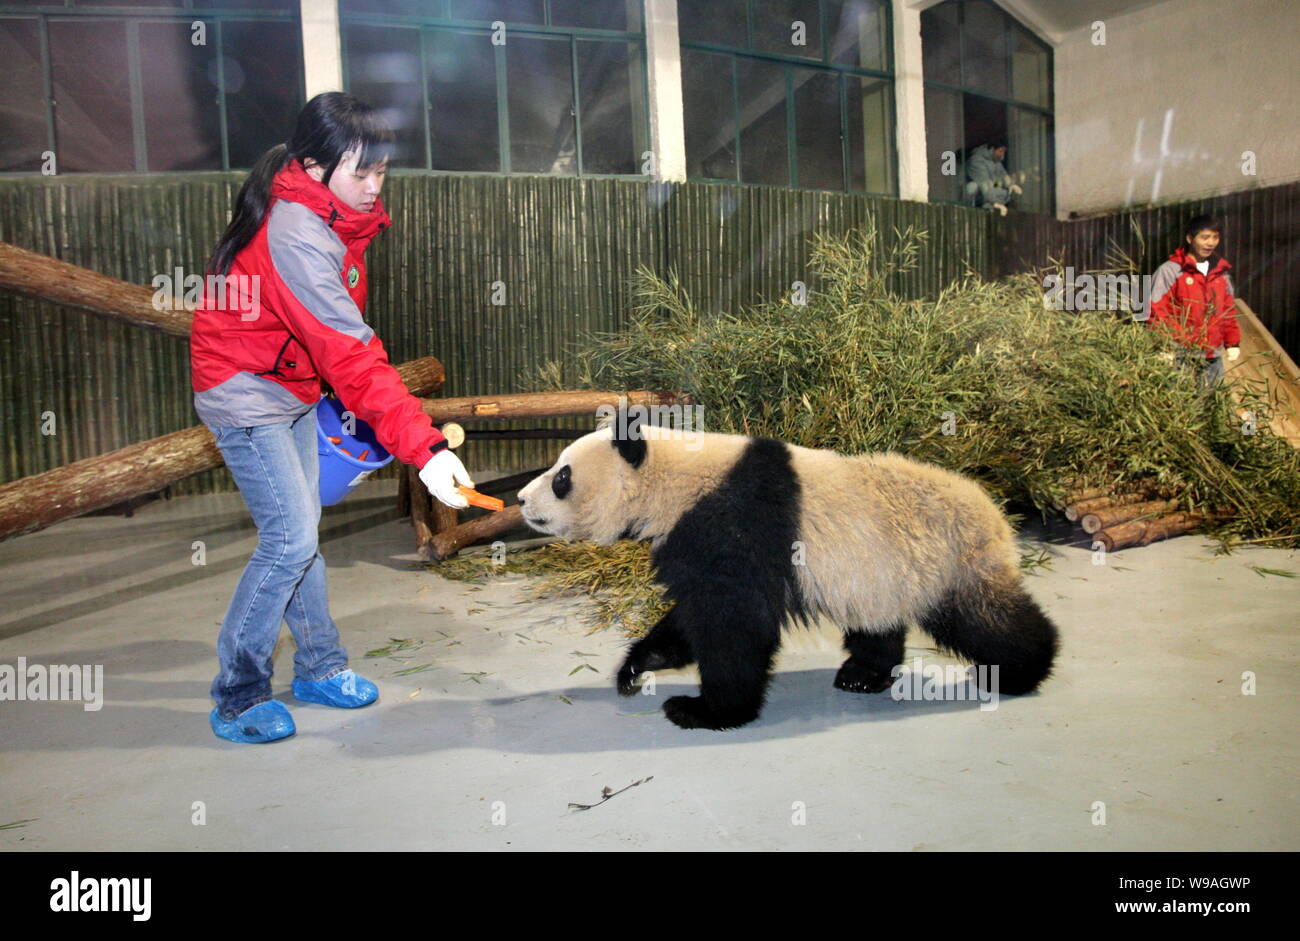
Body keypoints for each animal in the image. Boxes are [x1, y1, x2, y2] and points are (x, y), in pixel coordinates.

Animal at [516, 410, 1059, 731]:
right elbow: (694, 616)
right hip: (884, 571)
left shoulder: (733, 523)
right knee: (877, 621)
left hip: (951, 563)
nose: (521, 500)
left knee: (987, 622)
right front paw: (636, 667)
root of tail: (994, 512)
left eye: (561, 476)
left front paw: (703, 710)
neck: (671, 478)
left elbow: (732, 622)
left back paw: (1024, 670)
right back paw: (863, 675)